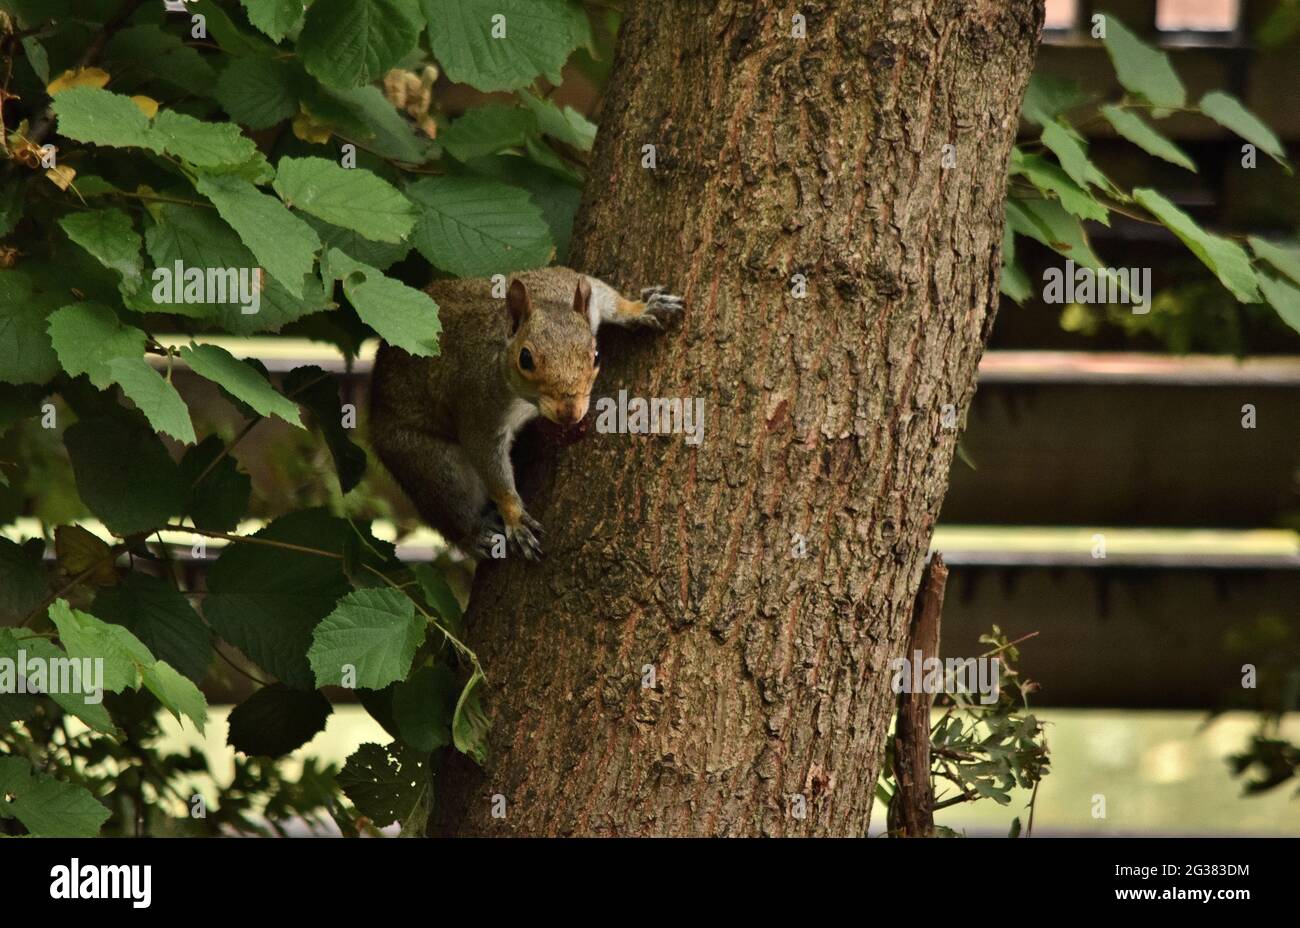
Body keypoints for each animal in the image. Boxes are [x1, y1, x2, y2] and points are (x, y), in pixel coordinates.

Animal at [369, 266, 684, 560]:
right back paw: (476, 534)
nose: (569, 412)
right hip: (424, 459)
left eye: (595, 356)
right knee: (450, 498)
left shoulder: (568, 281)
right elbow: (490, 463)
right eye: (526, 359)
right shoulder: (478, 406)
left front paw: (642, 308)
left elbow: (606, 295)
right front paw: (515, 517)